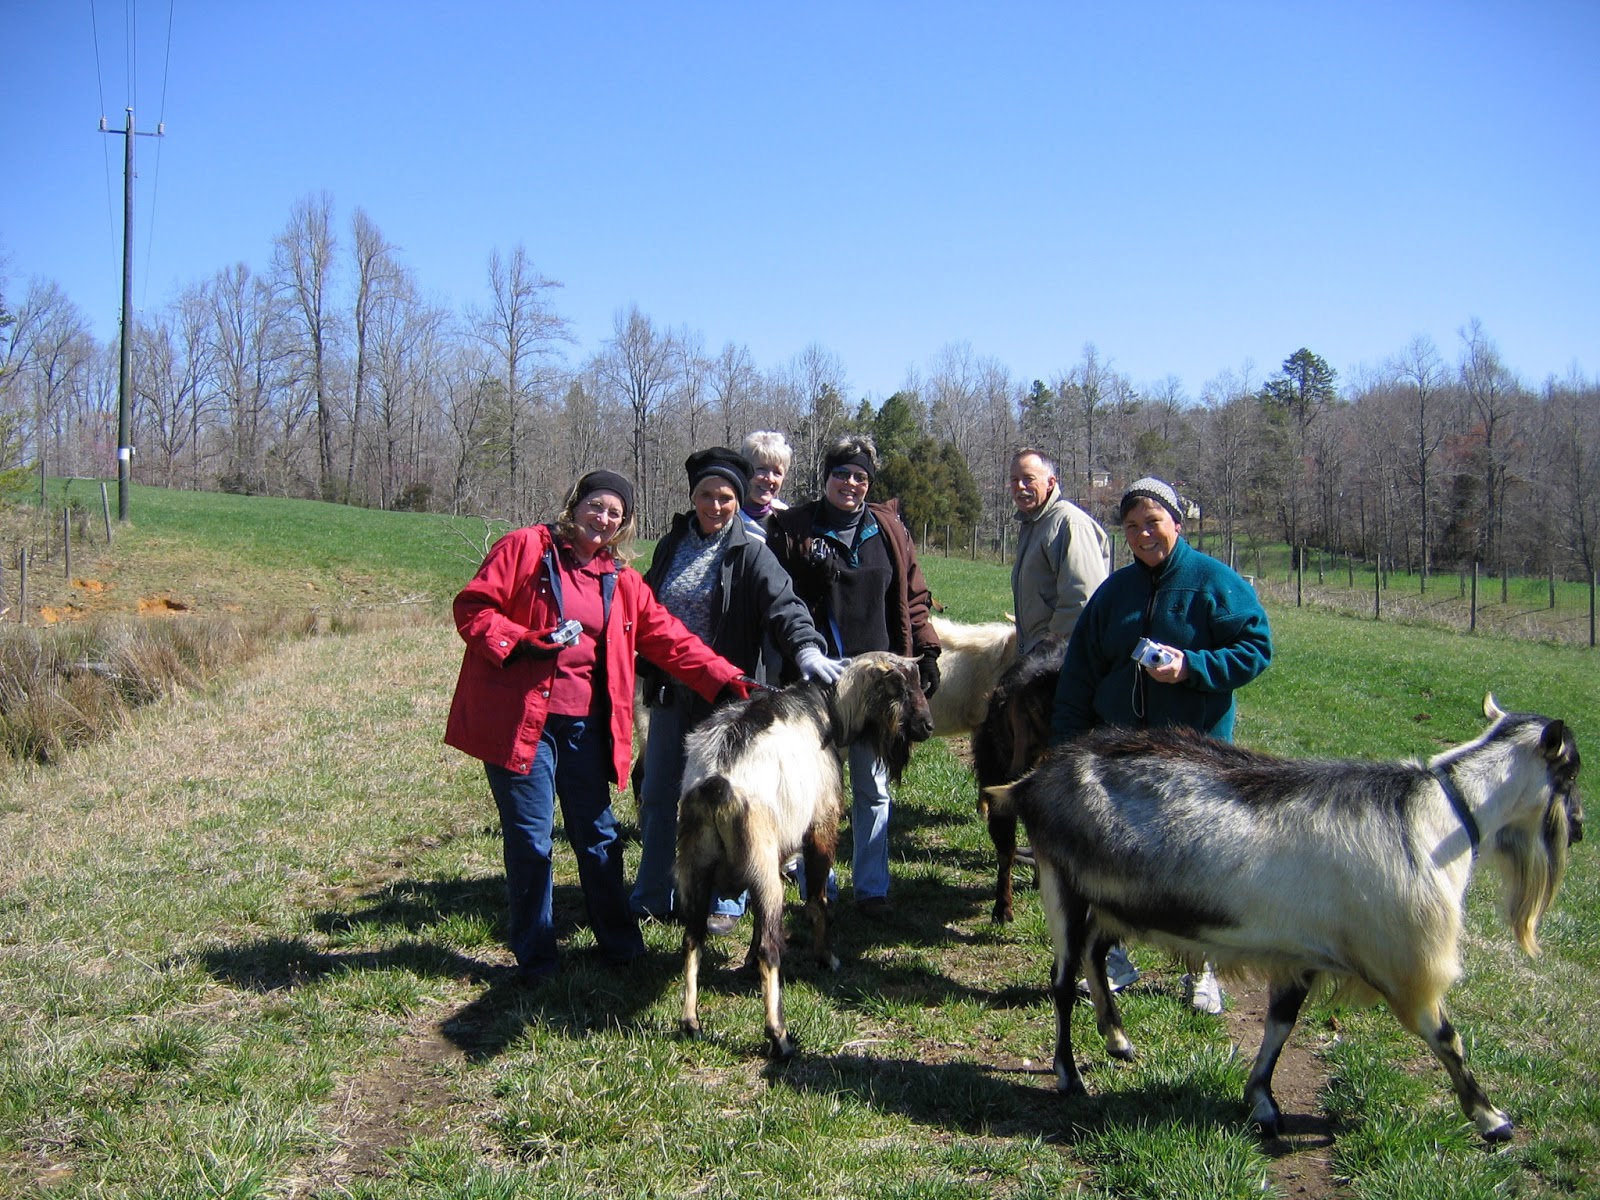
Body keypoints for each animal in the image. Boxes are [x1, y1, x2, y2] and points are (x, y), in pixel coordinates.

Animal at [675, 651, 935, 1059]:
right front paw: (826, 958)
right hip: (761, 864)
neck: (827, 710)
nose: (927, 726)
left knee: (692, 938)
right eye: (900, 686)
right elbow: (818, 901)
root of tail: (717, 782)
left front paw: (746, 961)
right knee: (770, 949)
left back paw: (691, 1023)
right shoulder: (821, 827)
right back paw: (779, 1036)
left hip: (695, 866)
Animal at [987, 697, 1583, 1143]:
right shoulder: (1404, 962)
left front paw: (1262, 1103)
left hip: (1114, 900)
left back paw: (1117, 1040)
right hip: (1063, 885)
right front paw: (1493, 1120)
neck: (1446, 817)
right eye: (1571, 769)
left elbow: (1281, 1024)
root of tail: (1033, 782)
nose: (1578, 827)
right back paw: (1068, 1075)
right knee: (1062, 979)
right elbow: (1447, 1038)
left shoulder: (1302, 954)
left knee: (1092, 955)